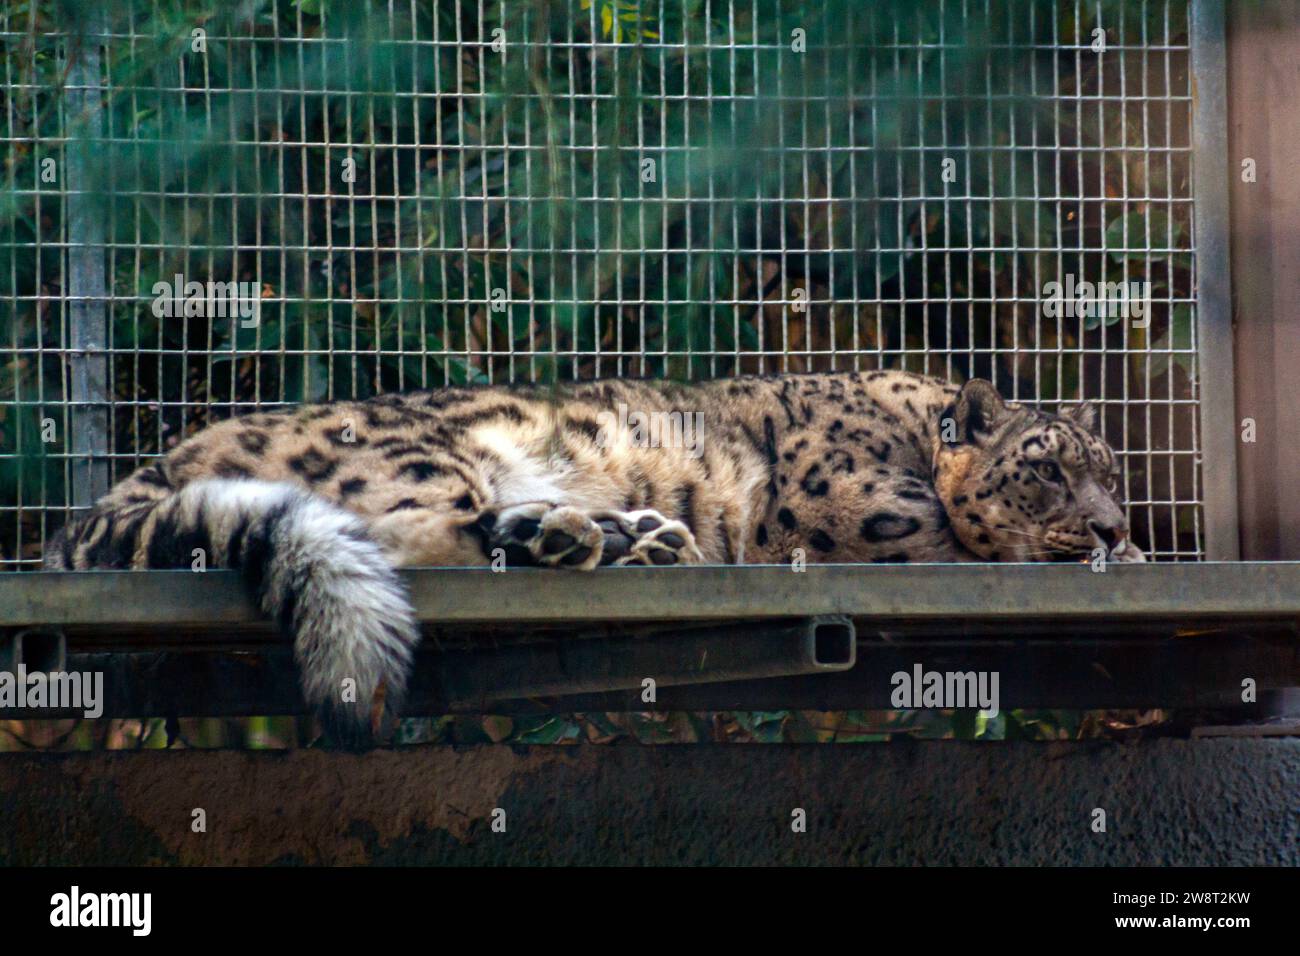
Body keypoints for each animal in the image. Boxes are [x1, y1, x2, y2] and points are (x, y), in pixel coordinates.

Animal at [43, 370, 1144, 737]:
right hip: (418, 458)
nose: (1112, 527)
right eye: (1047, 469)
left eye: (1114, 473)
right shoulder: (859, 506)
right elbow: (939, 530)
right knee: (421, 534)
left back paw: (627, 535)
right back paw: (603, 535)